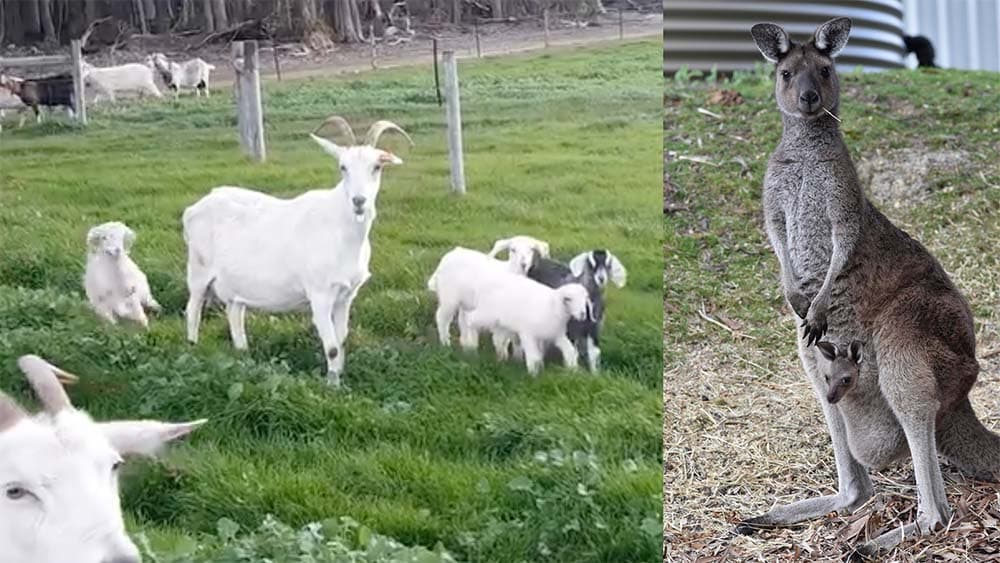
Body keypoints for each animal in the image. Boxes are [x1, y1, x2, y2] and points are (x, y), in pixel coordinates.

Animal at [182, 116, 412, 387]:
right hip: (198, 270)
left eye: (376, 167)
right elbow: (332, 347)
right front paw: (332, 386)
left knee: (234, 312)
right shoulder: (320, 294)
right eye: (342, 167)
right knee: (193, 309)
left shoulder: (346, 296)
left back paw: (242, 354)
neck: (340, 228)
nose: (359, 201)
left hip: (234, 281)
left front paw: (339, 378)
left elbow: (342, 342)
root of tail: (193, 209)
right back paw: (193, 348)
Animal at [463, 275, 591, 376]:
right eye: (568, 299)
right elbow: (534, 357)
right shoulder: (528, 334)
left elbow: (569, 351)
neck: (552, 306)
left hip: (500, 322)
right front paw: (533, 375)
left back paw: (501, 358)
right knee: (469, 319)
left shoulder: (556, 335)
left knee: (498, 339)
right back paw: (470, 346)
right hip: (487, 313)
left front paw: (573, 370)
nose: (583, 314)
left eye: (585, 298)